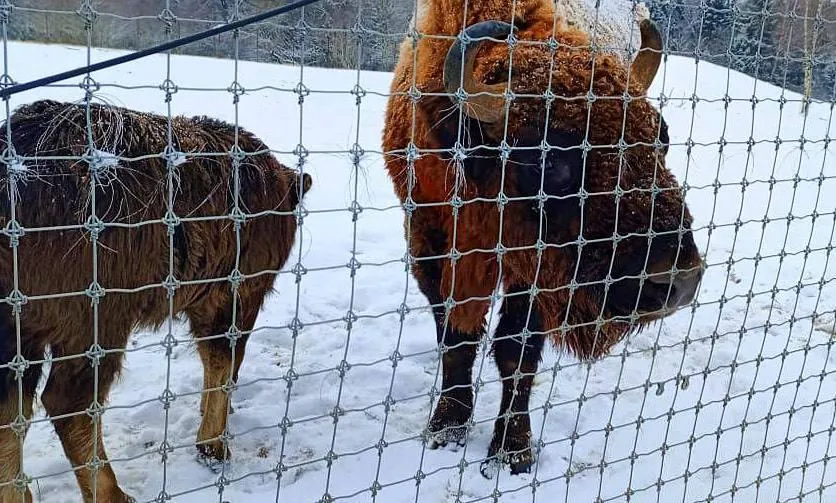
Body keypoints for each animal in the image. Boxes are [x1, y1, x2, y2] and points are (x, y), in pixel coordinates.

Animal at [0, 99, 312, 503]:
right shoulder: (235, 290)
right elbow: (224, 359)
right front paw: (213, 444)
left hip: (20, 325)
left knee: (12, 408)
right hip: (93, 313)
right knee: (68, 403)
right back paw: (112, 493)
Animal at [382, 0, 704, 478]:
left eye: (660, 140)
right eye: (551, 158)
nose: (678, 281)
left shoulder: (533, 275)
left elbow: (516, 350)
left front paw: (512, 450)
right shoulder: (428, 240)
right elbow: (455, 337)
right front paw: (447, 427)